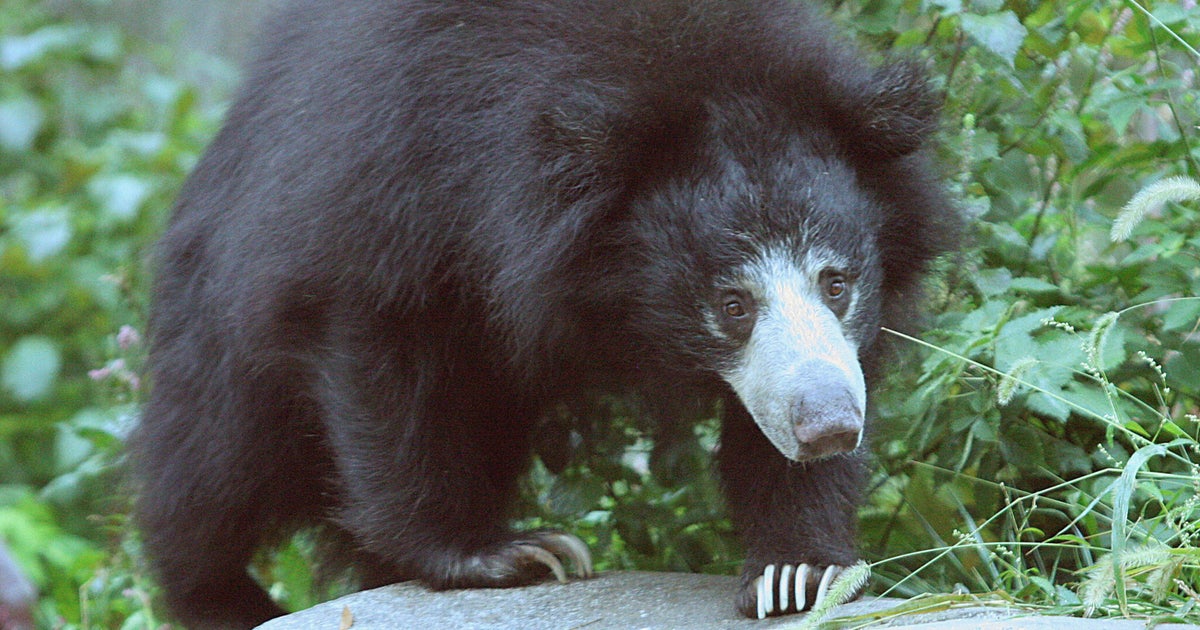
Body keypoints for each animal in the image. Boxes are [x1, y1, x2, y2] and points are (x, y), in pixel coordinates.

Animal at [129, 0, 959, 627]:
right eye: (732, 303)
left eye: (837, 282)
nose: (829, 428)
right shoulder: (388, 195)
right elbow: (386, 373)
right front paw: (506, 553)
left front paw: (799, 571)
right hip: (217, 307)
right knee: (218, 459)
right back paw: (222, 595)